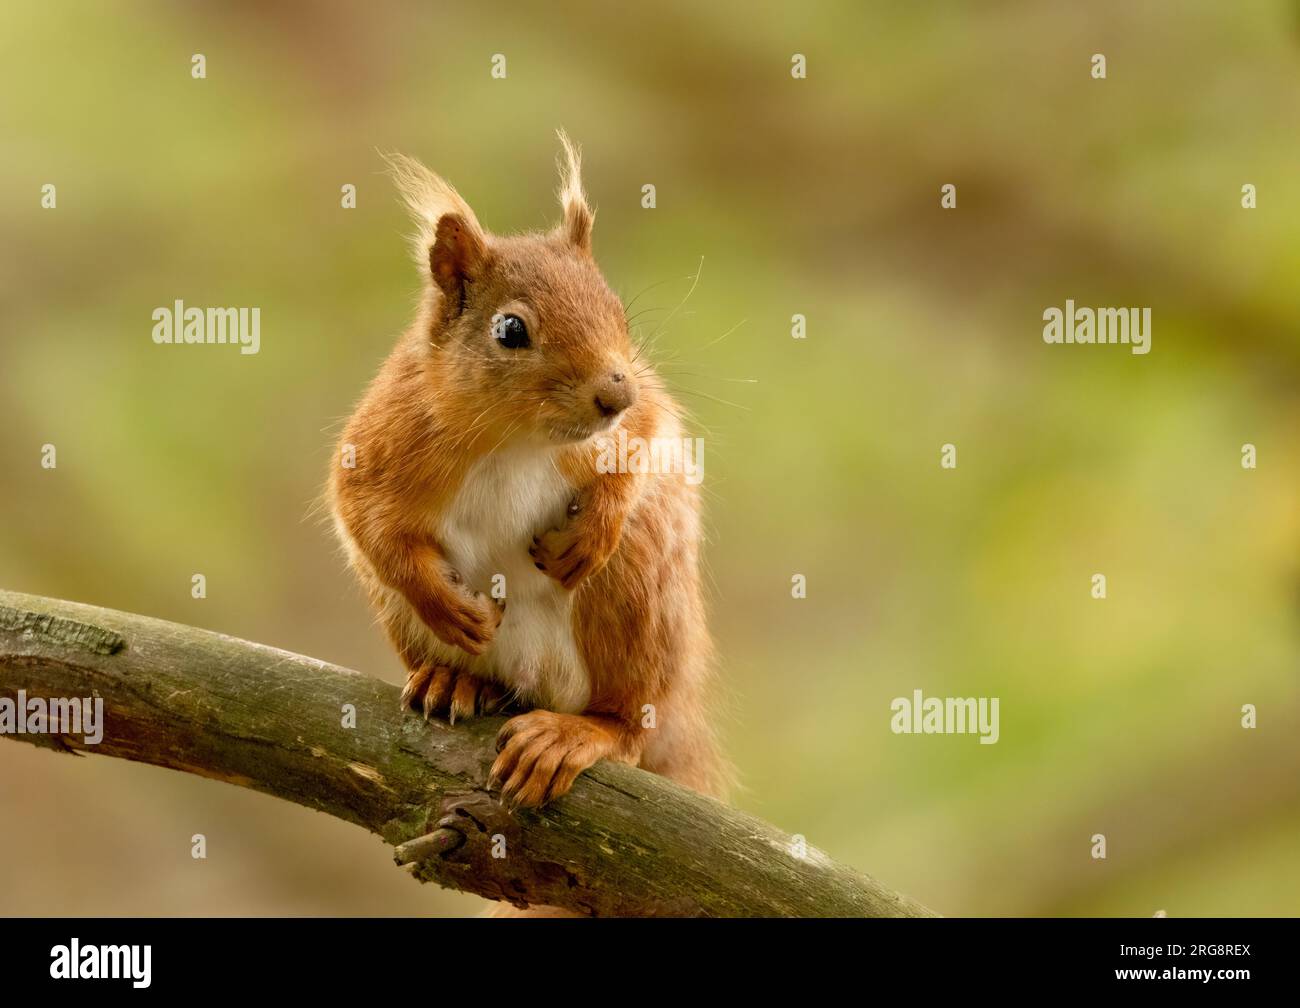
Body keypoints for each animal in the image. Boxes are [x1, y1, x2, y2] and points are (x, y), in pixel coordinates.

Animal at [329, 134, 724, 816]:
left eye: (618, 312)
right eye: (510, 329)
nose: (614, 394)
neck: (517, 441)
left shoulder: (643, 415)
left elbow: (648, 443)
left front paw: (597, 525)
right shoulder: (382, 440)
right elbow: (366, 521)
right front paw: (447, 606)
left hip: (634, 599)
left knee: (628, 725)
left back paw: (575, 734)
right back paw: (454, 677)